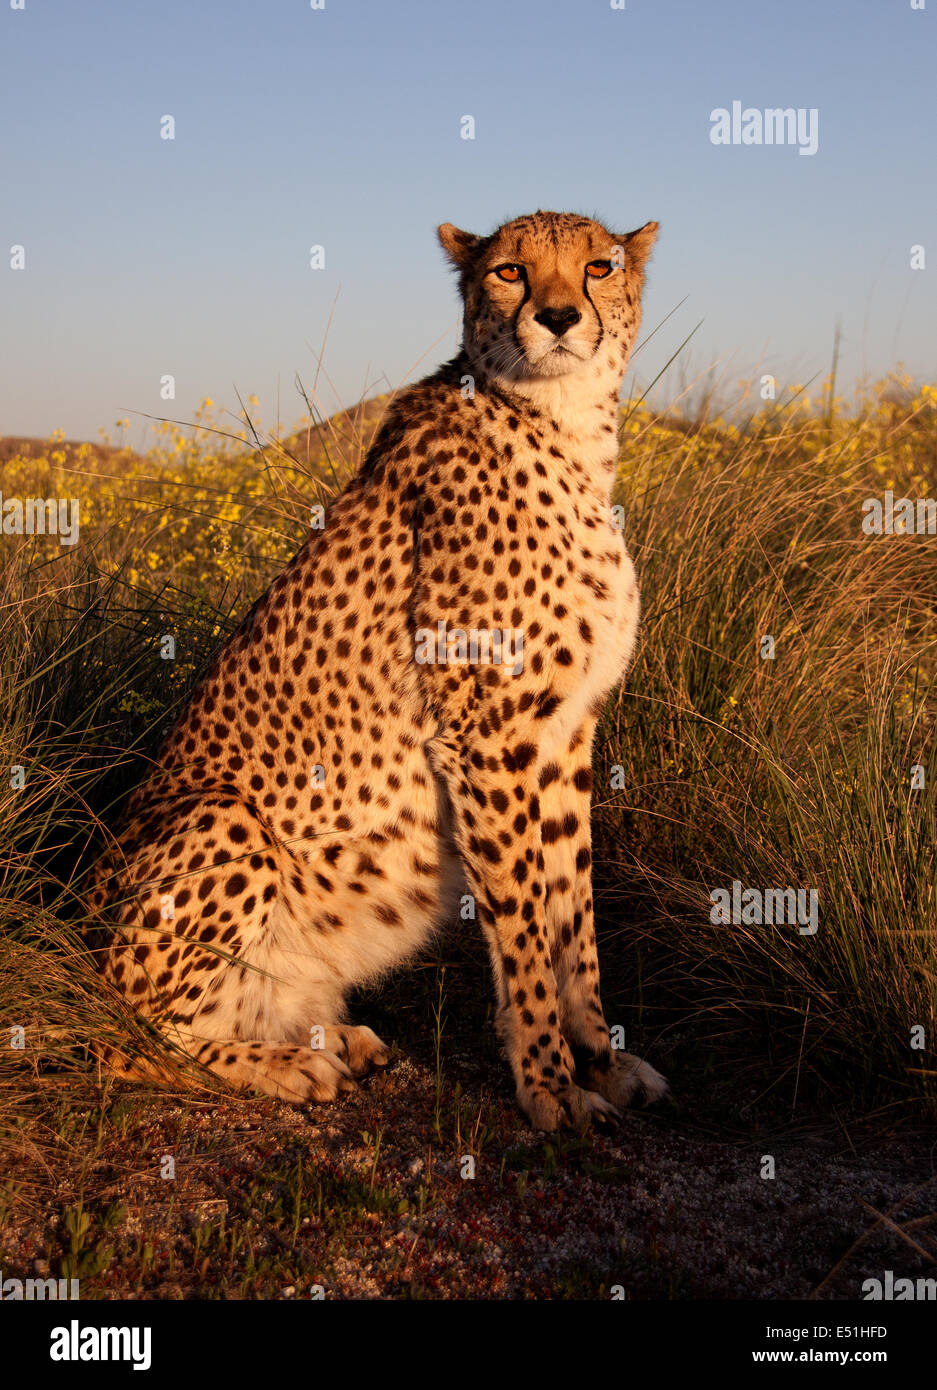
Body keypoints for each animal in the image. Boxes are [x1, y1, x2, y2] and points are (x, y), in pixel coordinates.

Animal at [85, 208, 668, 1132]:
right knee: (125, 1039)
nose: (558, 318)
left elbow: (572, 915)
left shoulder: (568, 730)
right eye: (509, 270)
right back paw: (284, 1066)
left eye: (599, 267)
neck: (566, 427)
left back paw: (329, 1038)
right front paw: (548, 1086)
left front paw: (601, 1063)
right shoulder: (487, 736)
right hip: (225, 819)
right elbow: (524, 925)